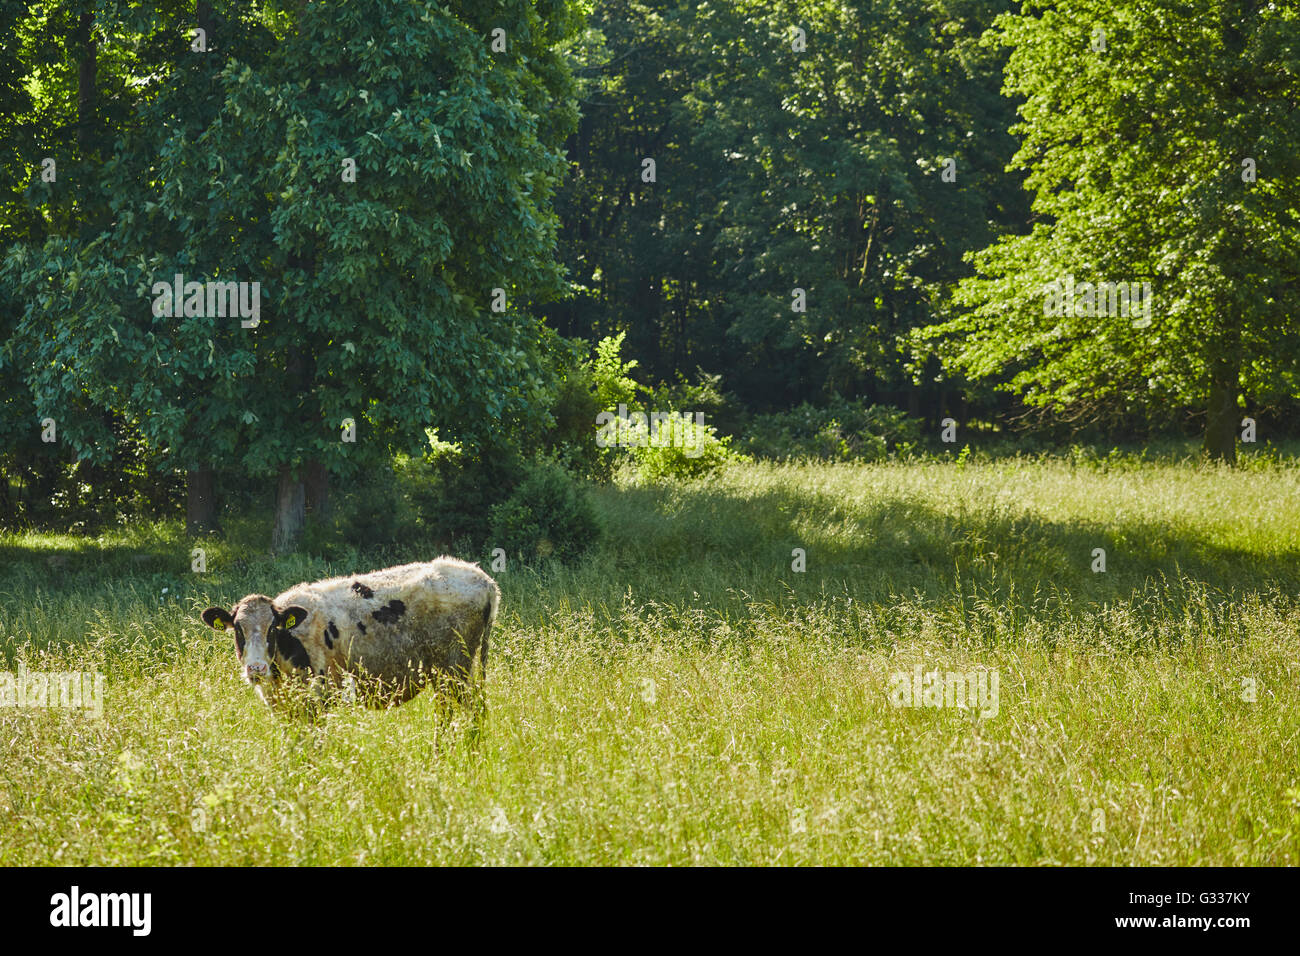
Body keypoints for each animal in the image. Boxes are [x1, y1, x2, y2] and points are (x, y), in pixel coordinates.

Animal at [200, 557, 499, 714]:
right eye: (238, 630)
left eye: (273, 628)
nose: (256, 668)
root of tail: (484, 579)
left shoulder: (320, 699)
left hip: (454, 672)